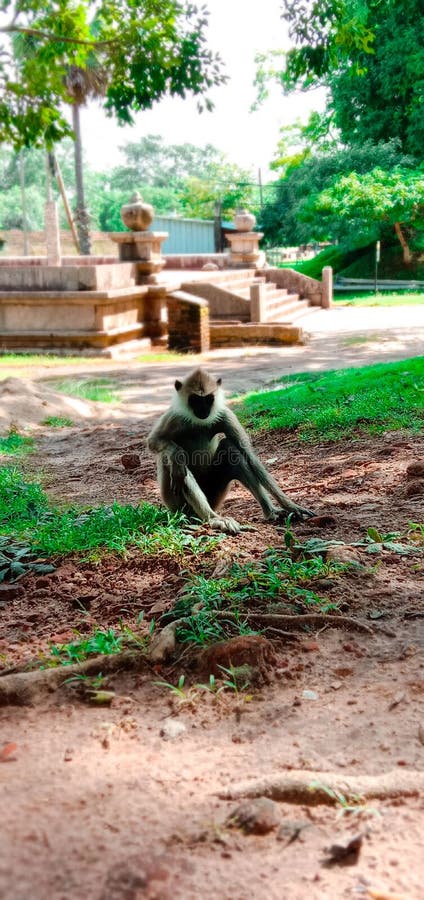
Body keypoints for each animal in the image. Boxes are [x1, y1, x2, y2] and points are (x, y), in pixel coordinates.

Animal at [147, 368, 315, 534]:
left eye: (208, 399)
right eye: (195, 400)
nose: (203, 409)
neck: (198, 423)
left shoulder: (224, 415)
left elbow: (250, 457)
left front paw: (290, 505)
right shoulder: (174, 416)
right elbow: (153, 442)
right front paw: (177, 454)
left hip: (215, 494)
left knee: (230, 448)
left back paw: (270, 512)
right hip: (176, 504)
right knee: (171, 462)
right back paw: (213, 518)